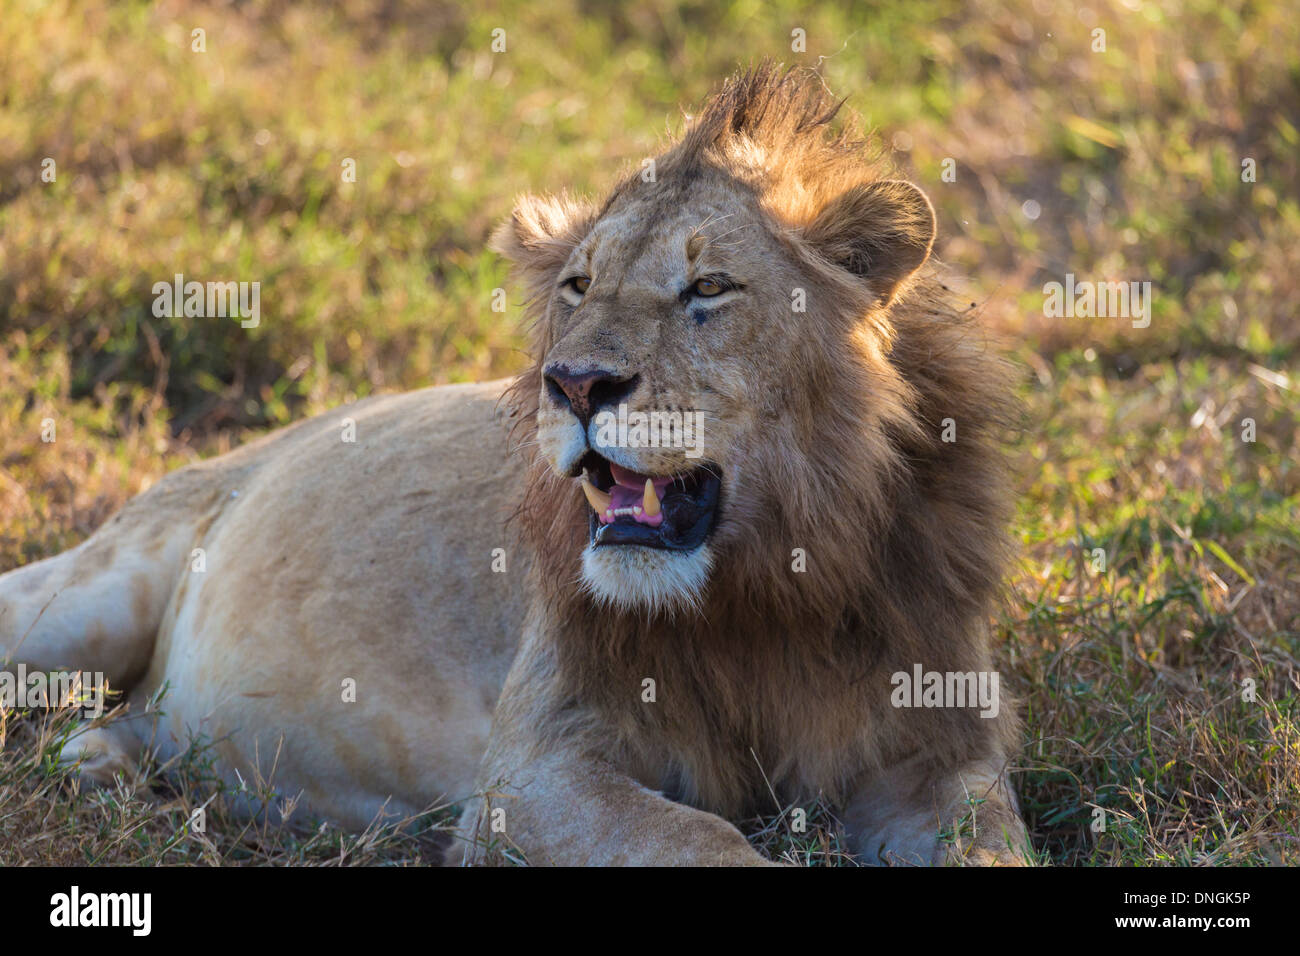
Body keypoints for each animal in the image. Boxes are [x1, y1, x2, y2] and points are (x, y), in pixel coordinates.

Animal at [0, 64, 1029, 866]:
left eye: (708, 287)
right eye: (578, 285)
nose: (574, 384)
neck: (773, 587)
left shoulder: (939, 751)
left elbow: (991, 843)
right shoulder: (531, 772)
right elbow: (703, 839)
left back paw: (111, 766)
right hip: (79, 606)